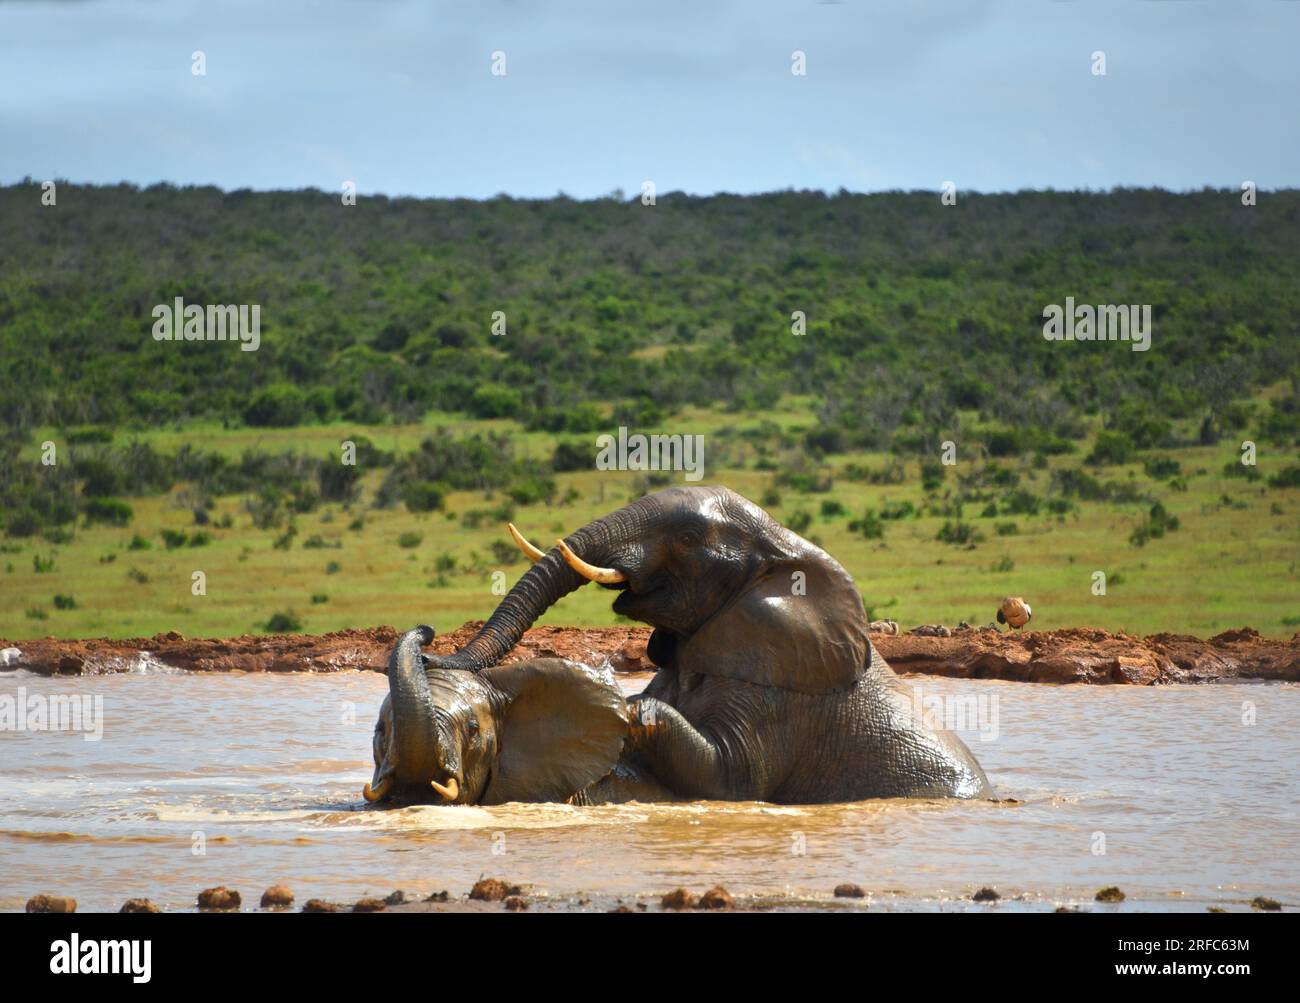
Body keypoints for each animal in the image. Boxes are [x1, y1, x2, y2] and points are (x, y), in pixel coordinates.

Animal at [365, 485, 991, 806]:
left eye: (689, 539)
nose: (428, 641)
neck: (783, 546)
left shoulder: (779, 689)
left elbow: (727, 775)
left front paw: (620, 708)